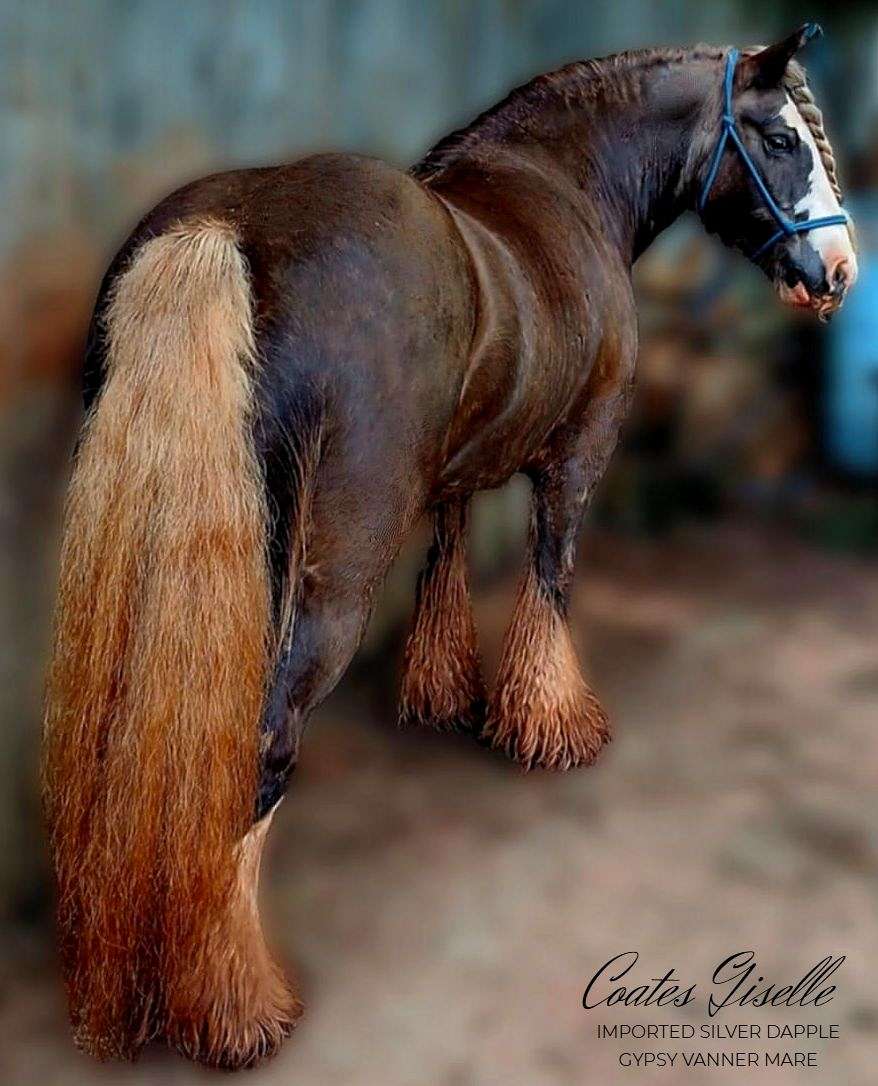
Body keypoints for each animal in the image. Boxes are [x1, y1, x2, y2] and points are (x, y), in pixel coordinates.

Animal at [42, 24, 857, 1070]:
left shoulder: (461, 470)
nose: (838, 270)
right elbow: (552, 578)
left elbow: (450, 565)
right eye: (781, 136)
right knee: (261, 748)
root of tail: (224, 234)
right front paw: (550, 723)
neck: (561, 181)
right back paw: (234, 1004)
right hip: (324, 581)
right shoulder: (580, 455)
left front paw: (437, 690)